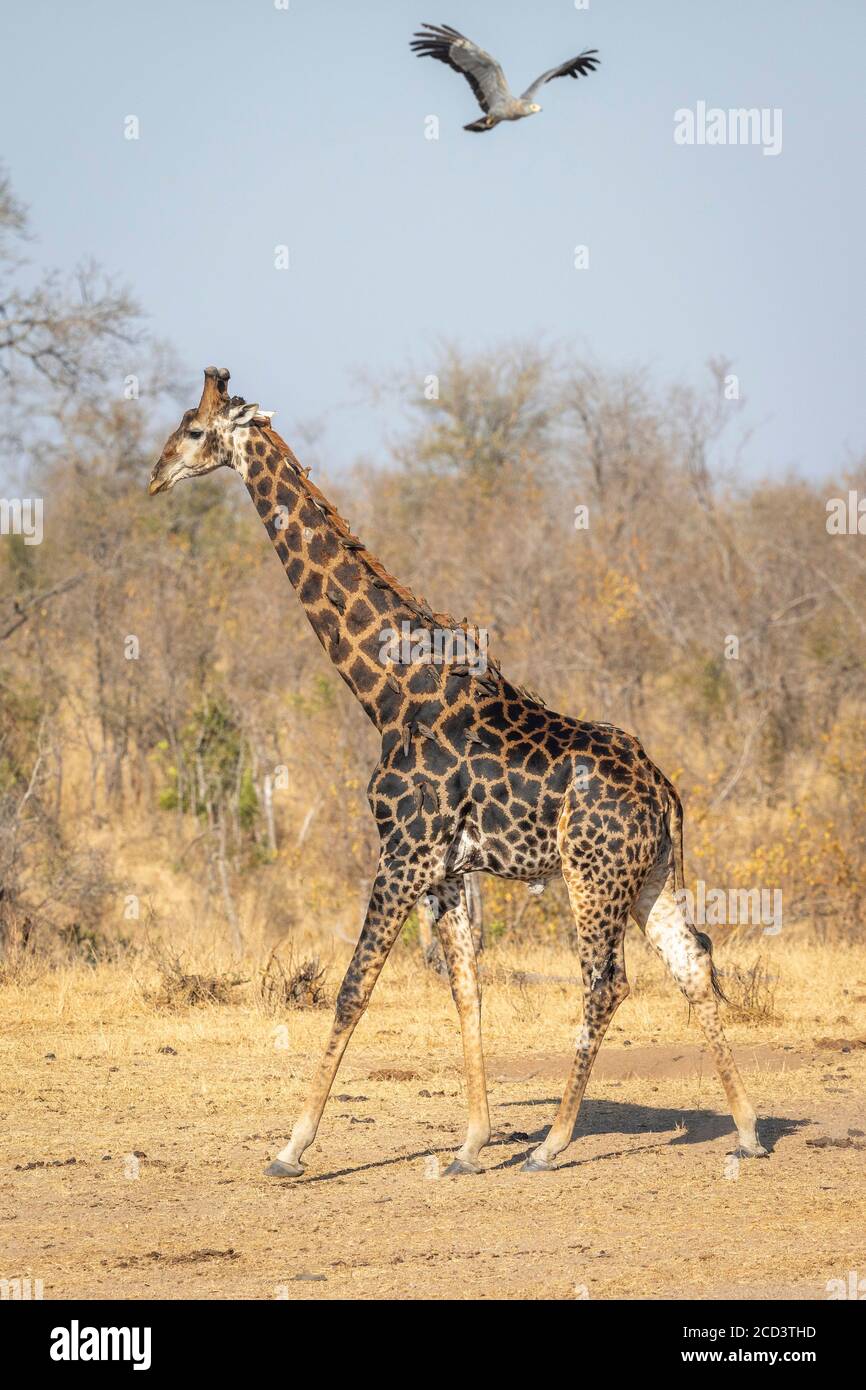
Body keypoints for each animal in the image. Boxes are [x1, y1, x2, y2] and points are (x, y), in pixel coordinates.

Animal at [148, 368, 767, 1177]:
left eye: (194, 430)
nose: (155, 477)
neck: (387, 691)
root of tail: (666, 796)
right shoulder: (446, 869)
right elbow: (465, 992)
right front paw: (469, 1147)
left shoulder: (402, 853)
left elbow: (352, 989)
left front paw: (290, 1149)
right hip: (650, 875)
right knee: (694, 960)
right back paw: (748, 1130)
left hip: (591, 876)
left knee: (607, 982)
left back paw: (552, 1143)